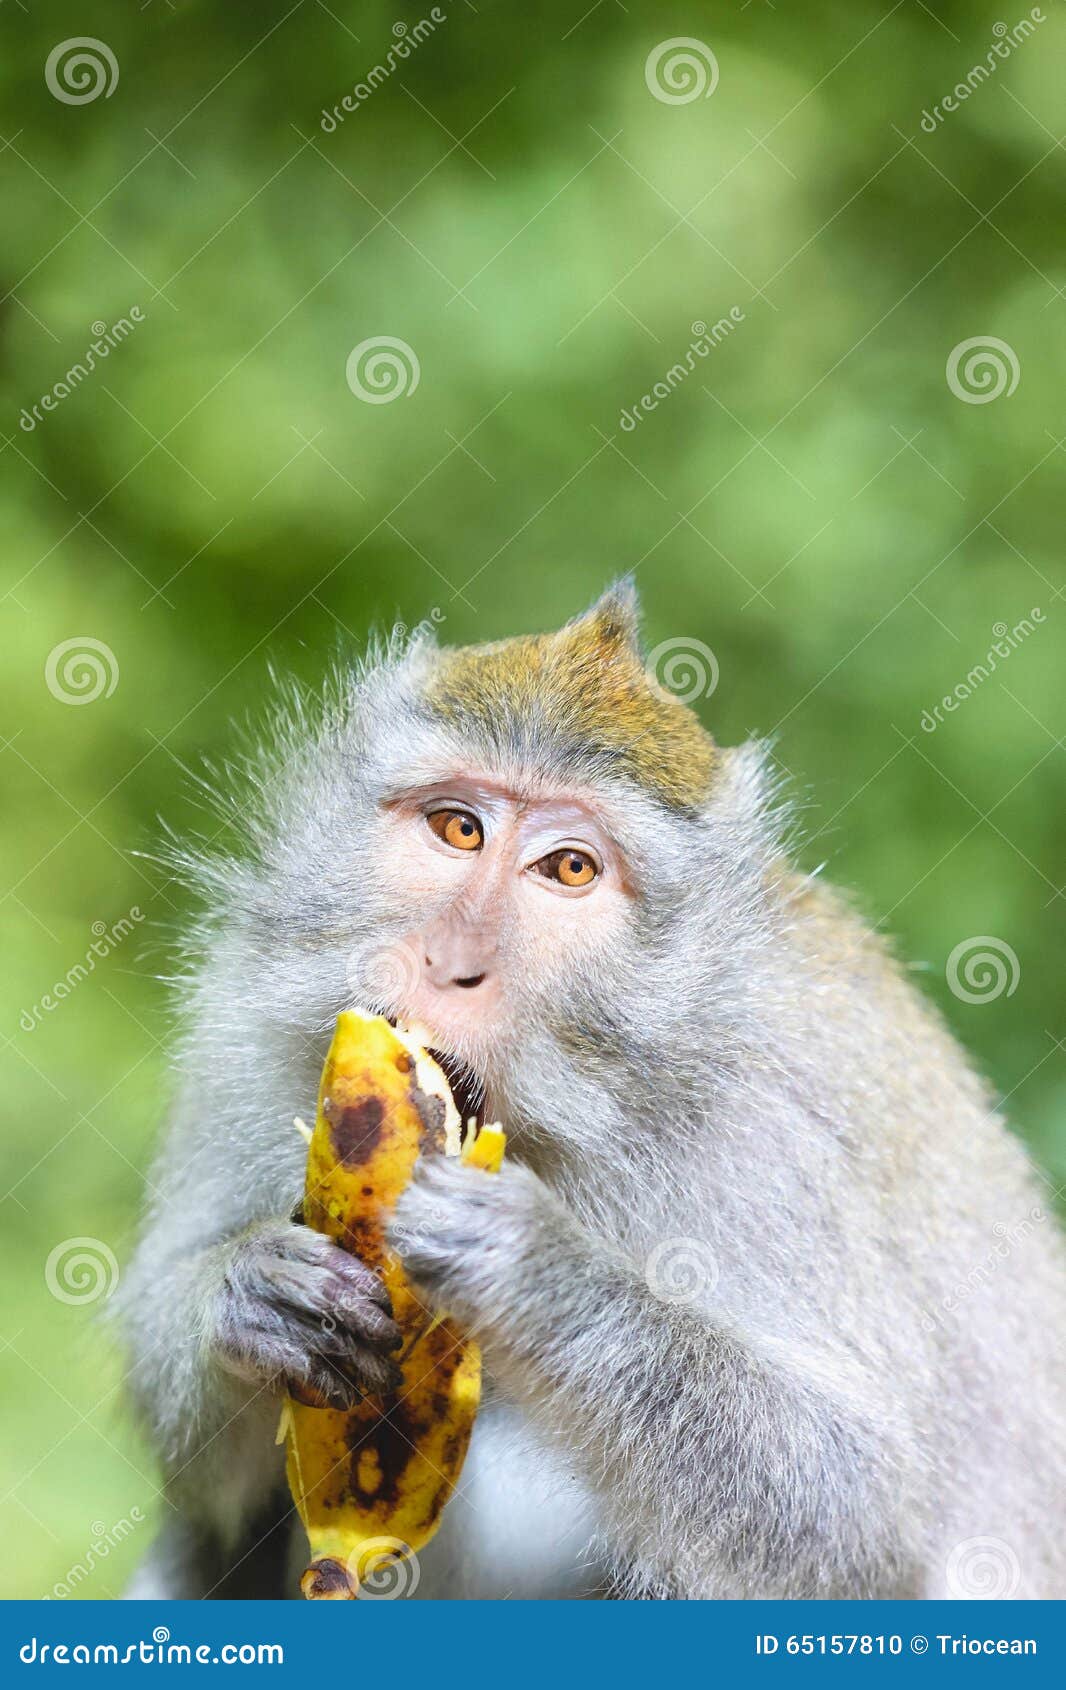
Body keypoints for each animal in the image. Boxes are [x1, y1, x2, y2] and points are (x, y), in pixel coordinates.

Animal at [117, 583, 1066, 1600]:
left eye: (569, 868)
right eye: (459, 828)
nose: (450, 961)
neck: (570, 1115)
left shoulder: (776, 1128)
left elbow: (855, 1509)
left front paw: (538, 1267)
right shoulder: (241, 1024)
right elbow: (198, 1469)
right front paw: (250, 1290)